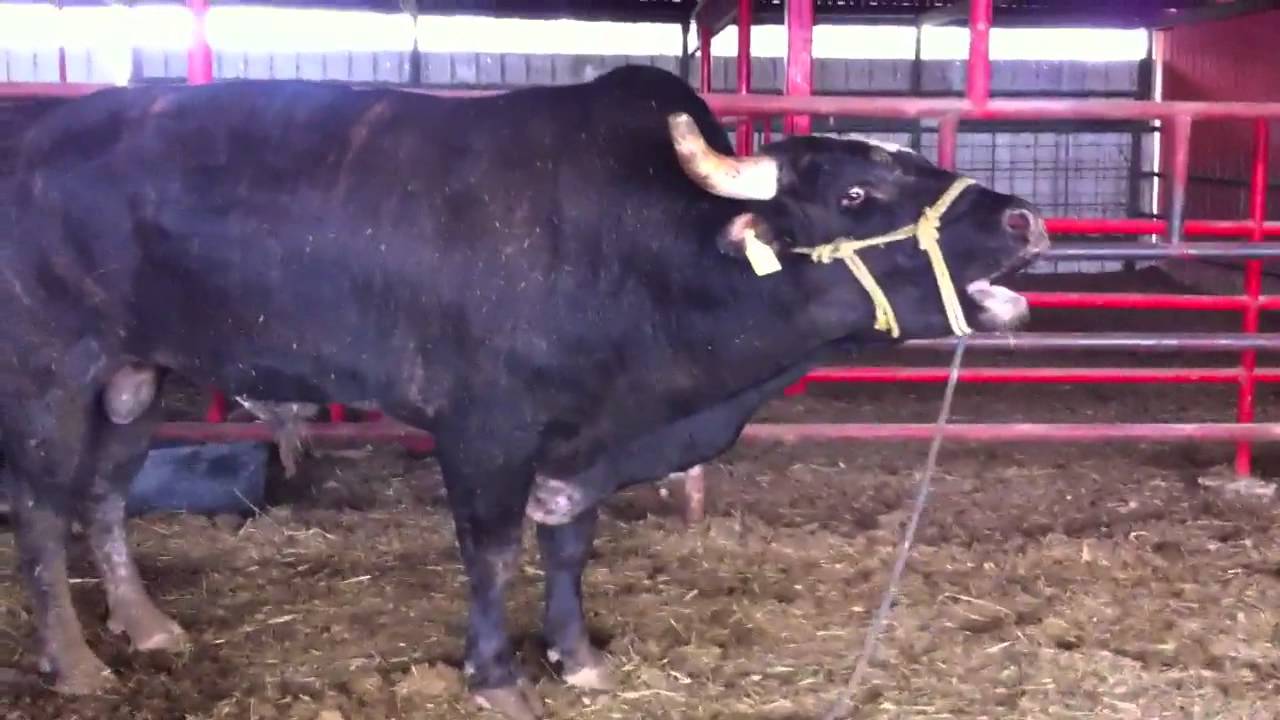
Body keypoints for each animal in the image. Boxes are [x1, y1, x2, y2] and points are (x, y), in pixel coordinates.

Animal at [0, 65, 1048, 719]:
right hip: (50, 371)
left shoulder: (583, 441)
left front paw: (577, 655)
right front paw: (497, 675)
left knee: (106, 494)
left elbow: (571, 543)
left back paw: (143, 624)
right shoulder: (484, 430)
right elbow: (494, 553)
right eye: (857, 196)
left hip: (137, 375)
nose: (1025, 218)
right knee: (43, 510)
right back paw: (75, 662)